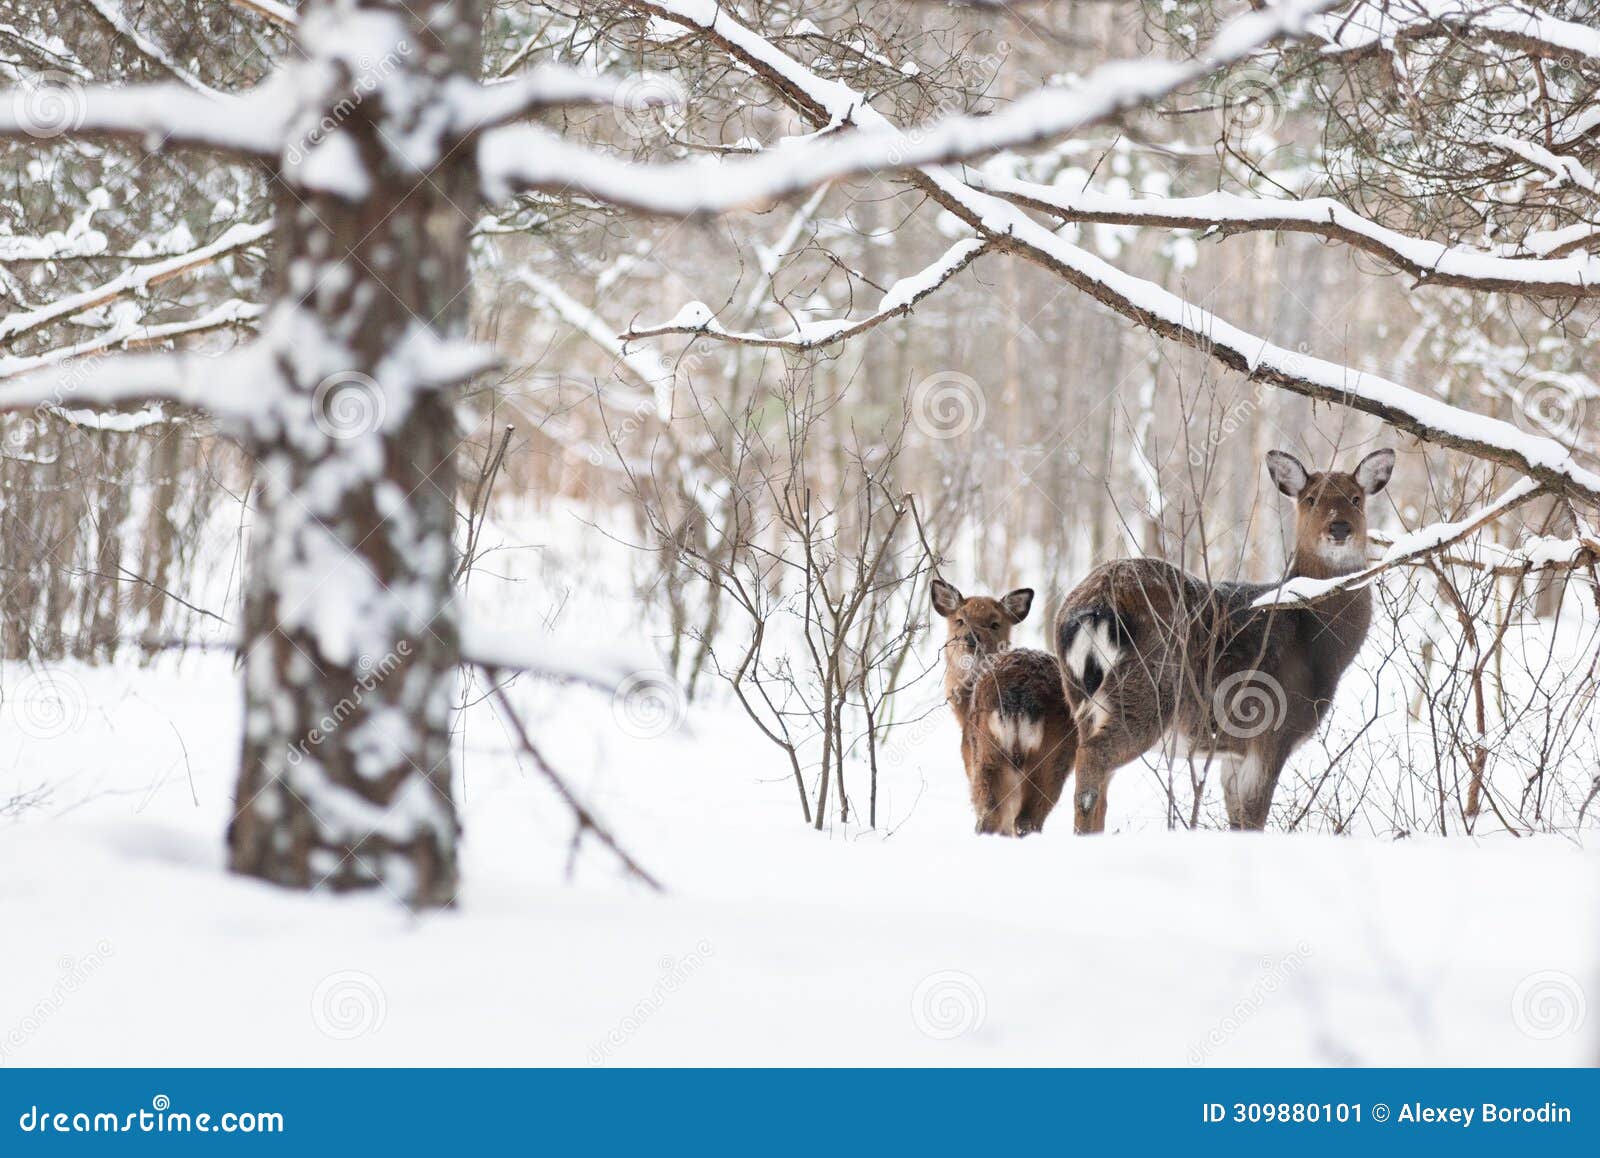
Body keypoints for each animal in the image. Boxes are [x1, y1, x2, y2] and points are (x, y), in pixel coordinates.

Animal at [931, 579, 1077, 836]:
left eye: (995, 623)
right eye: (960, 619)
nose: (971, 638)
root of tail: (1021, 696)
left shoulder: (968, 756)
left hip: (991, 753)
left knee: (997, 818)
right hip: (1039, 759)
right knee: (1022, 820)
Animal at [1052, 448, 1394, 834]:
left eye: (1356, 498)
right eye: (1311, 499)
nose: (1339, 528)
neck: (1317, 645)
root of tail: (1092, 607)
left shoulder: (1234, 751)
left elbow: (1238, 818)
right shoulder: (1272, 730)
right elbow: (1254, 818)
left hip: (1081, 701)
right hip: (1148, 691)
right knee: (1093, 760)